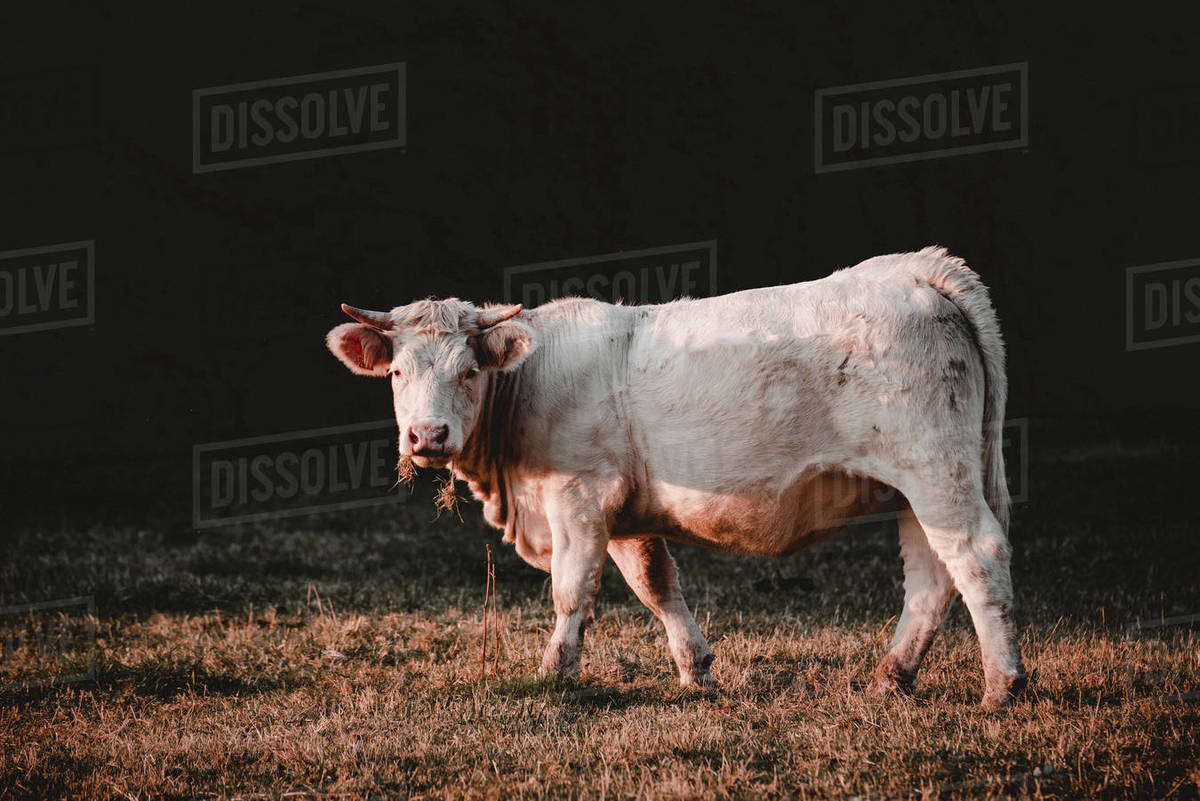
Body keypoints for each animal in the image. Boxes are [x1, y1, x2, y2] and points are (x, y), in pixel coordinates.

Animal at [325, 246, 1028, 707]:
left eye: (469, 372)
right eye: (397, 373)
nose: (427, 437)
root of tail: (914, 268)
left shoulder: (580, 497)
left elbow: (571, 590)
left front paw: (554, 673)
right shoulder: (628, 515)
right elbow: (657, 585)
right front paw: (697, 671)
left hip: (936, 470)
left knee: (977, 557)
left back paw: (1003, 686)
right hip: (917, 487)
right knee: (931, 578)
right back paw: (891, 678)